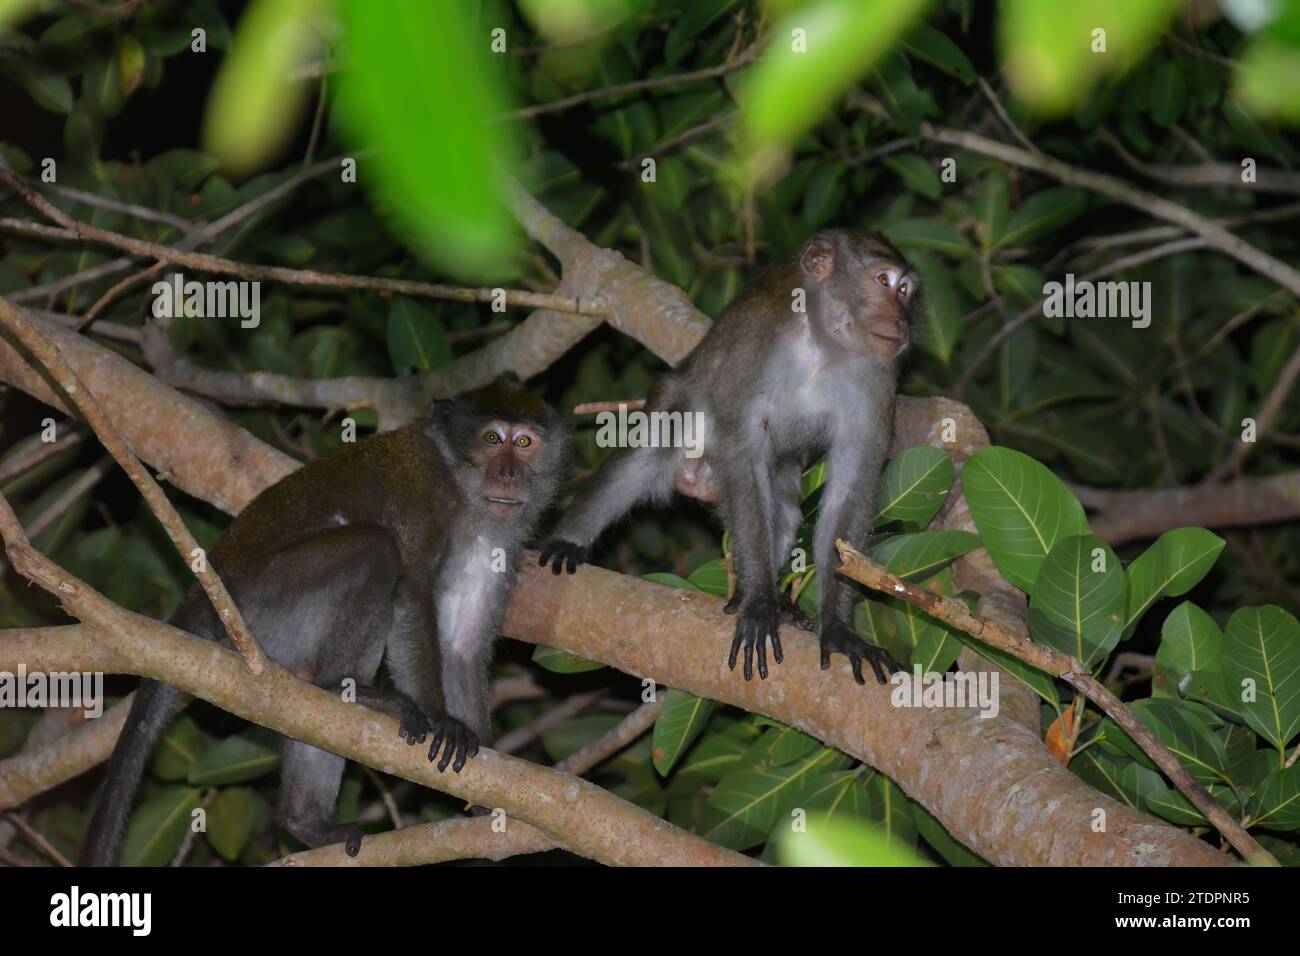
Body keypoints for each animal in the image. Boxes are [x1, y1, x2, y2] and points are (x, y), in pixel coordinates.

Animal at [82, 374, 567, 865]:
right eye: (492, 439)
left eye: (523, 443)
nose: (508, 474)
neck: (464, 494)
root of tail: (200, 601)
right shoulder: (423, 499)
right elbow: (412, 593)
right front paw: (439, 716)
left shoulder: (499, 542)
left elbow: (462, 649)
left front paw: (489, 802)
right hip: (267, 606)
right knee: (374, 548)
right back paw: (347, 689)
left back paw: (305, 822)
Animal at [540, 230, 916, 686]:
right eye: (883, 281)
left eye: (905, 290)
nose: (902, 321)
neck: (822, 347)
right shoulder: (749, 350)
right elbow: (742, 456)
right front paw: (757, 604)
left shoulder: (878, 379)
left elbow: (851, 485)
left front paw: (839, 629)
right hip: (678, 401)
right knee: (647, 458)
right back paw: (569, 540)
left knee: (783, 501)